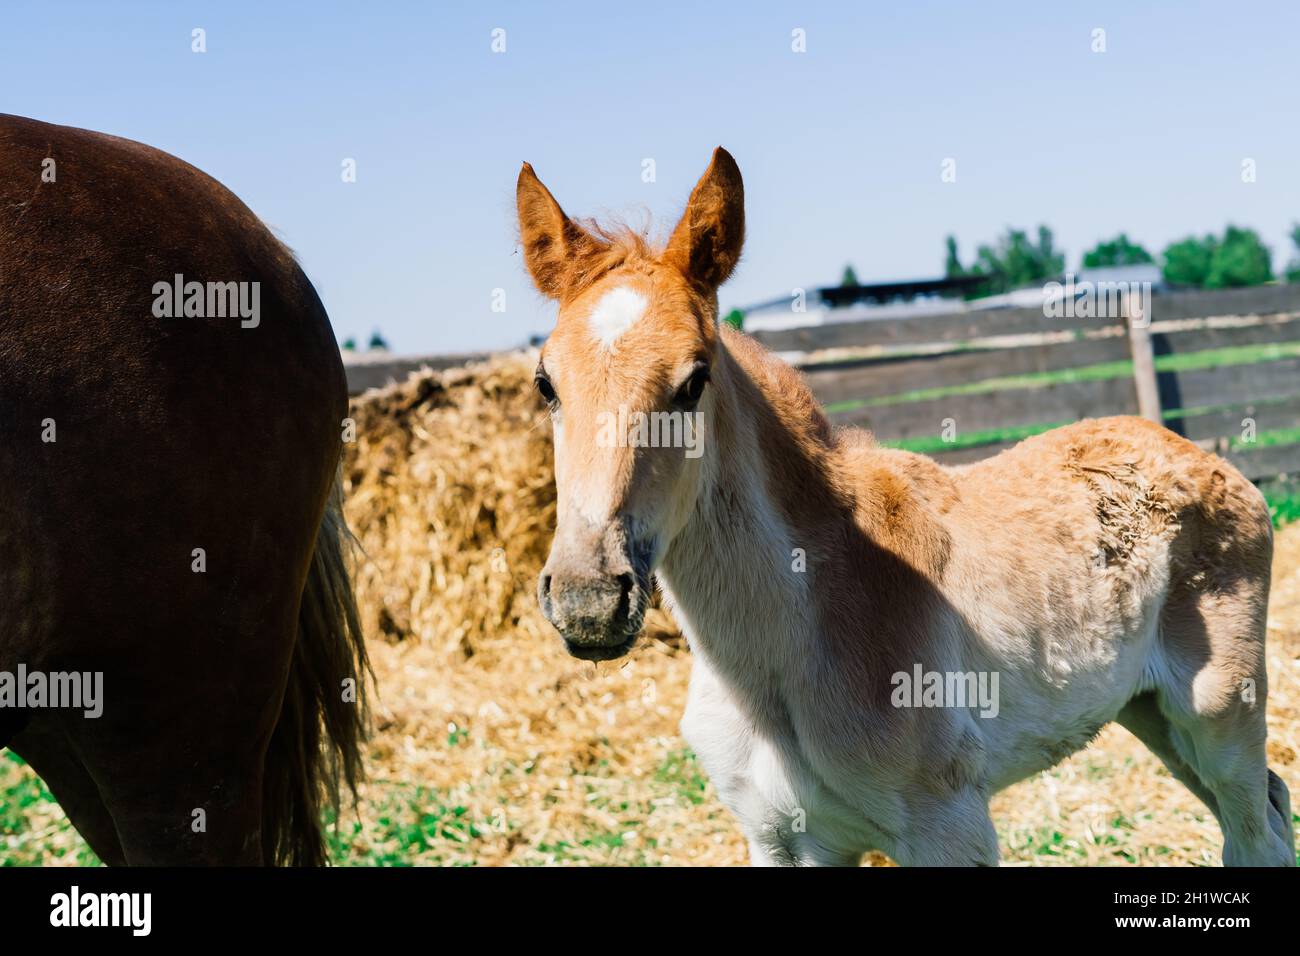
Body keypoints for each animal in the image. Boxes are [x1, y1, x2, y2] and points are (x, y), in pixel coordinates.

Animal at [517, 148, 1296, 866]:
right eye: (546, 383)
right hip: (1150, 712)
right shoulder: (782, 838)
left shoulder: (948, 829)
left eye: (694, 380)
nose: (589, 600)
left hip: (1219, 713)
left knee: (1253, 832)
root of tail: (1200, 454)